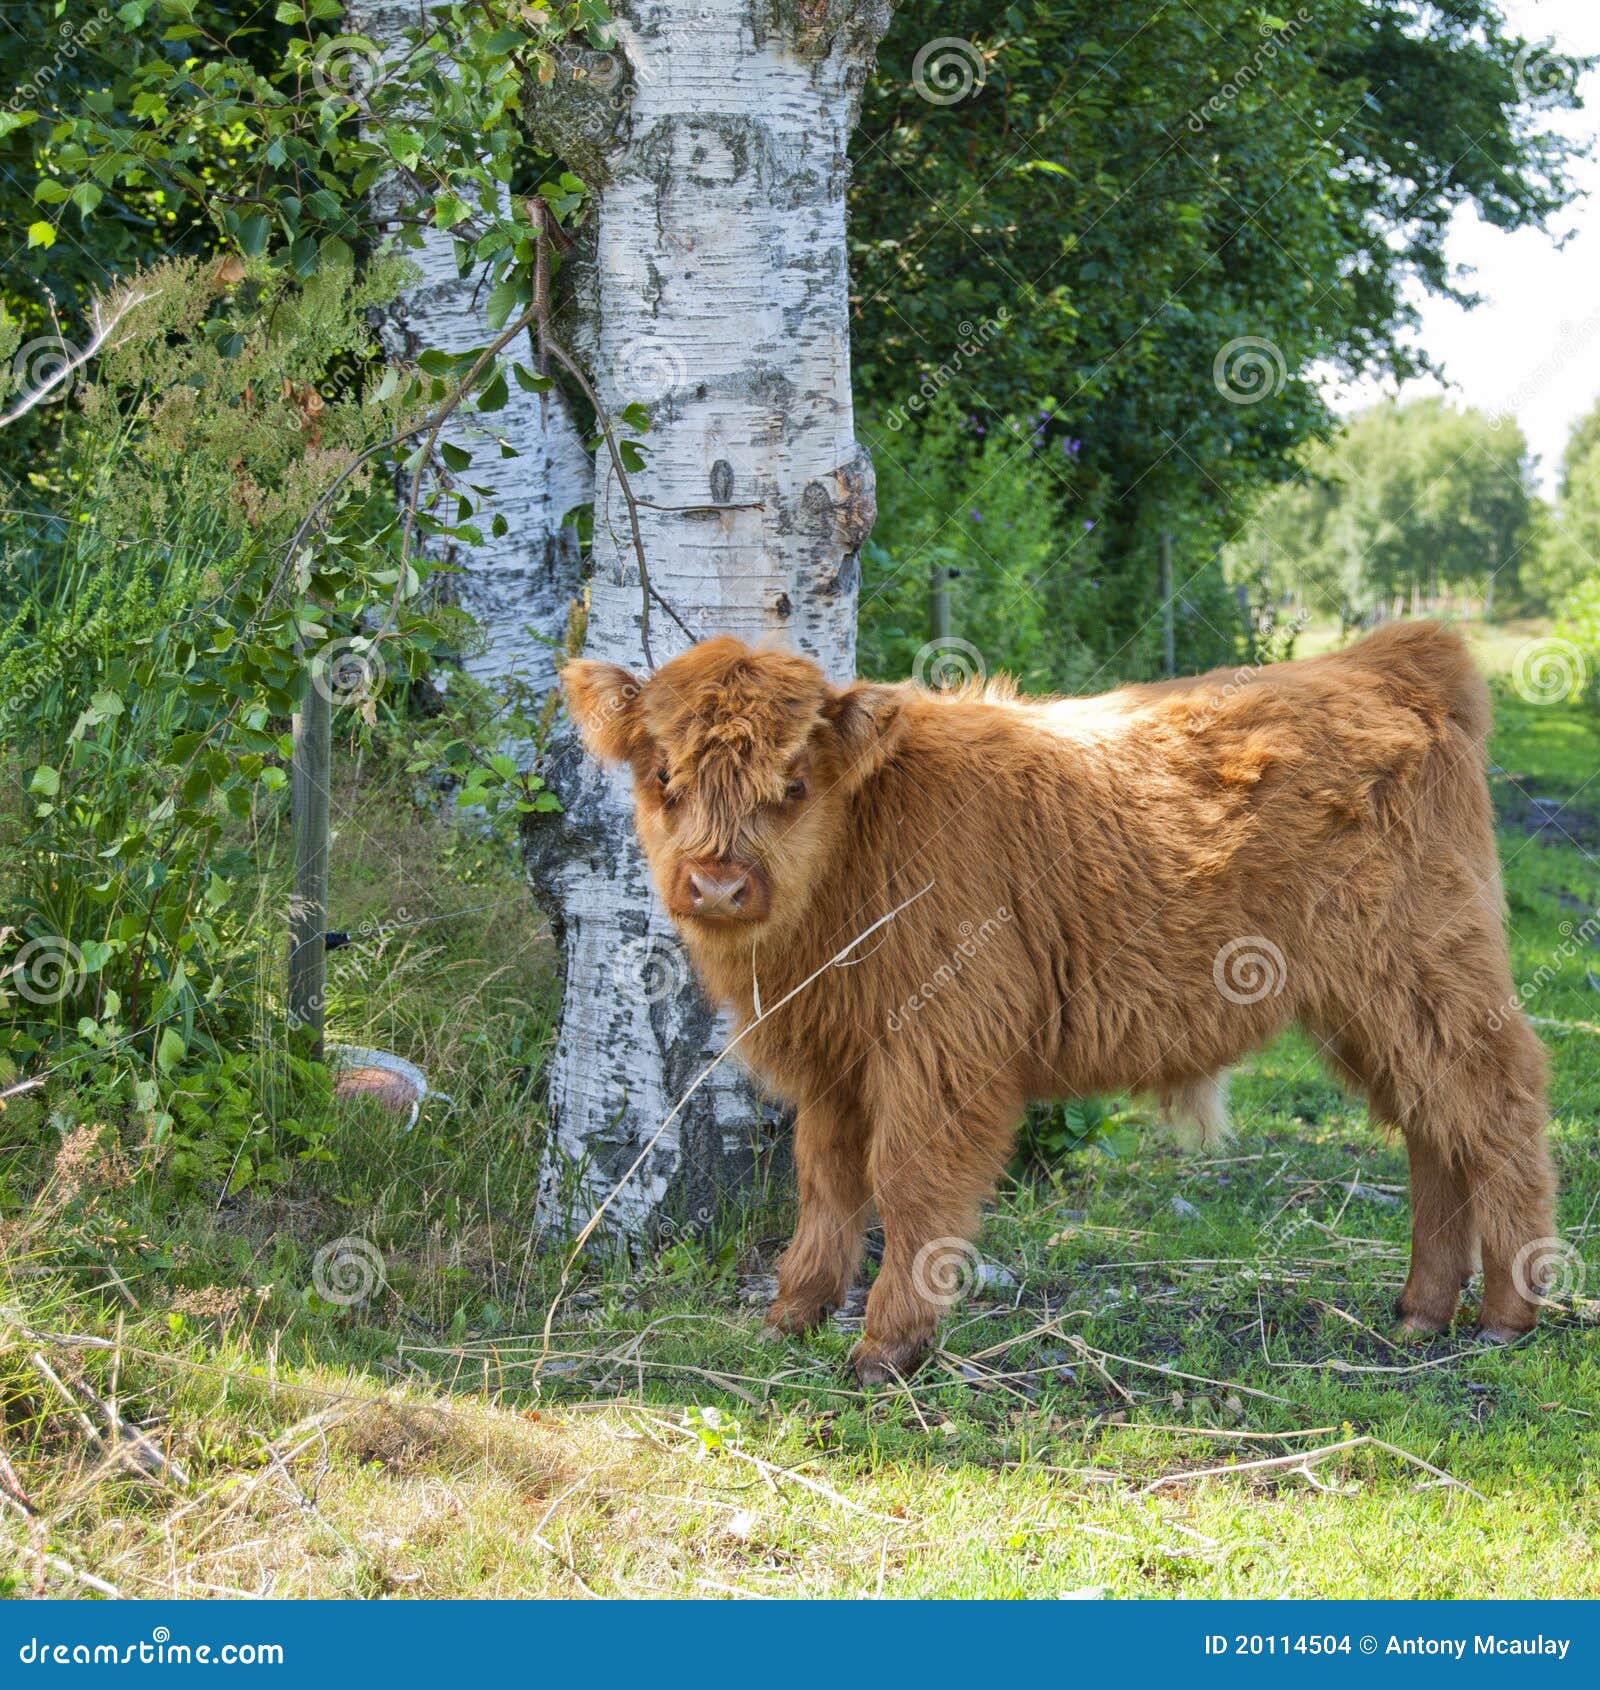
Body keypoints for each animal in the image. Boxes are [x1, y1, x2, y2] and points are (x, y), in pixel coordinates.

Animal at [562, 622, 1555, 1384]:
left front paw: (887, 1347)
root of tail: (1384, 660)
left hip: (1427, 974)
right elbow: (827, 1180)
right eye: (661, 776)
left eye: (793, 785)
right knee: (1435, 1130)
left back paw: (1508, 1311)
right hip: (1370, 1007)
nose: (718, 885)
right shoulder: (836, 1060)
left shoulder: (940, 1044)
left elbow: (907, 1184)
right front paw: (793, 1311)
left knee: (1496, 1107)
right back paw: (1422, 1310)